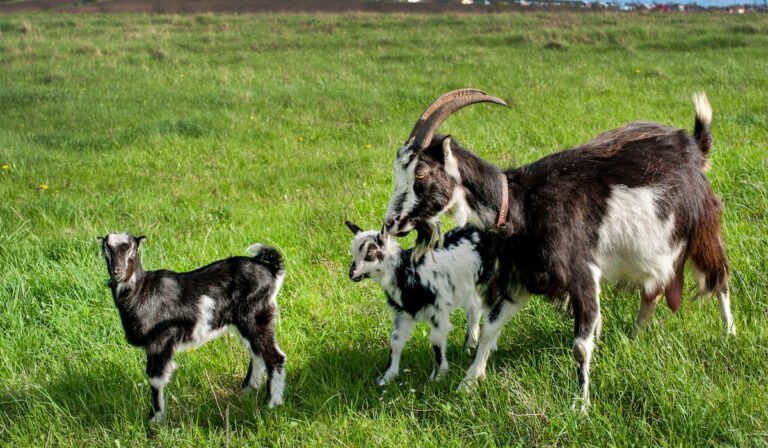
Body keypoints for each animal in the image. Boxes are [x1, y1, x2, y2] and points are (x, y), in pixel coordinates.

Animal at [98, 233, 286, 423]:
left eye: (133, 251)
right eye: (105, 252)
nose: (117, 272)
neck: (143, 292)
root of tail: (271, 270)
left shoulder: (160, 341)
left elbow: (155, 379)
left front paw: (154, 419)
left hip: (255, 316)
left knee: (274, 356)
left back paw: (271, 403)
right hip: (246, 323)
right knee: (257, 354)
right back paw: (245, 392)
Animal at [345, 221, 495, 385]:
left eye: (370, 253)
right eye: (353, 252)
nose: (351, 274)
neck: (409, 272)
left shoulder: (438, 311)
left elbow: (436, 341)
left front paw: (438, 376)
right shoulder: (404, 312)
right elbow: (395, 341)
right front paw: (388, 377)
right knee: (474, 308)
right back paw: (470, 345)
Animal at [381, 89, 734, 413]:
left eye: (421, 173)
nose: (390, 224)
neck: (520, 204)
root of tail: (694, 147)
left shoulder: (582, 274)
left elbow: (580, 347)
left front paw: (581, 405)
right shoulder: (523, 277)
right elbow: (491, 328)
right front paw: (469, 382)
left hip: (703, 229)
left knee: (720, 279)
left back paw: (729, 332)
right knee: (653, 291)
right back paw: (634, 337)